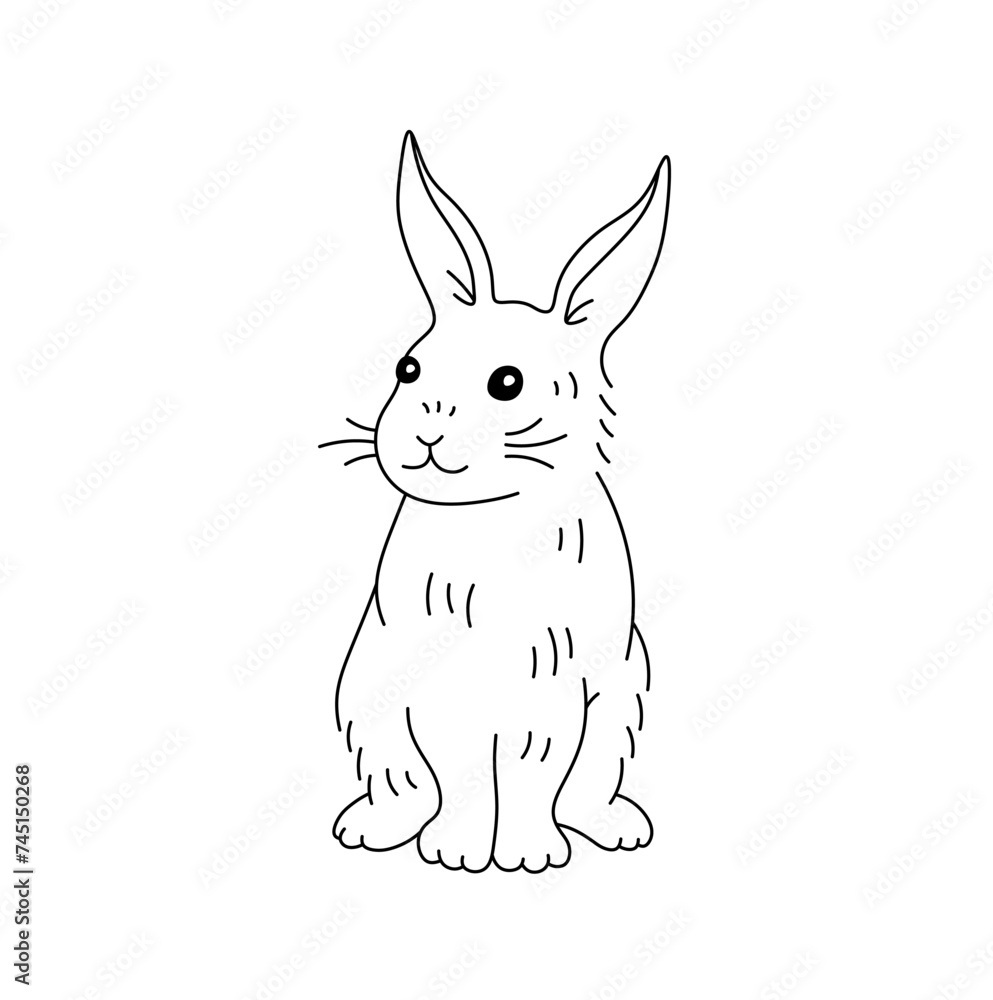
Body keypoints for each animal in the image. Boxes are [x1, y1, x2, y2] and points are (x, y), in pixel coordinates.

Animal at [327, 131, 670, 873]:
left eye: (507, 382)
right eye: (406, 369)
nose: (424, 432)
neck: (486, 519)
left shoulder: (554, 683)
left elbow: (529, 770)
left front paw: (524, 857)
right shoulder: (432, 685)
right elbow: (458, 769)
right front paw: (456, 855)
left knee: (581, 787)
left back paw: (614, 828)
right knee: (404, 785)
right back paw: (370, 829)